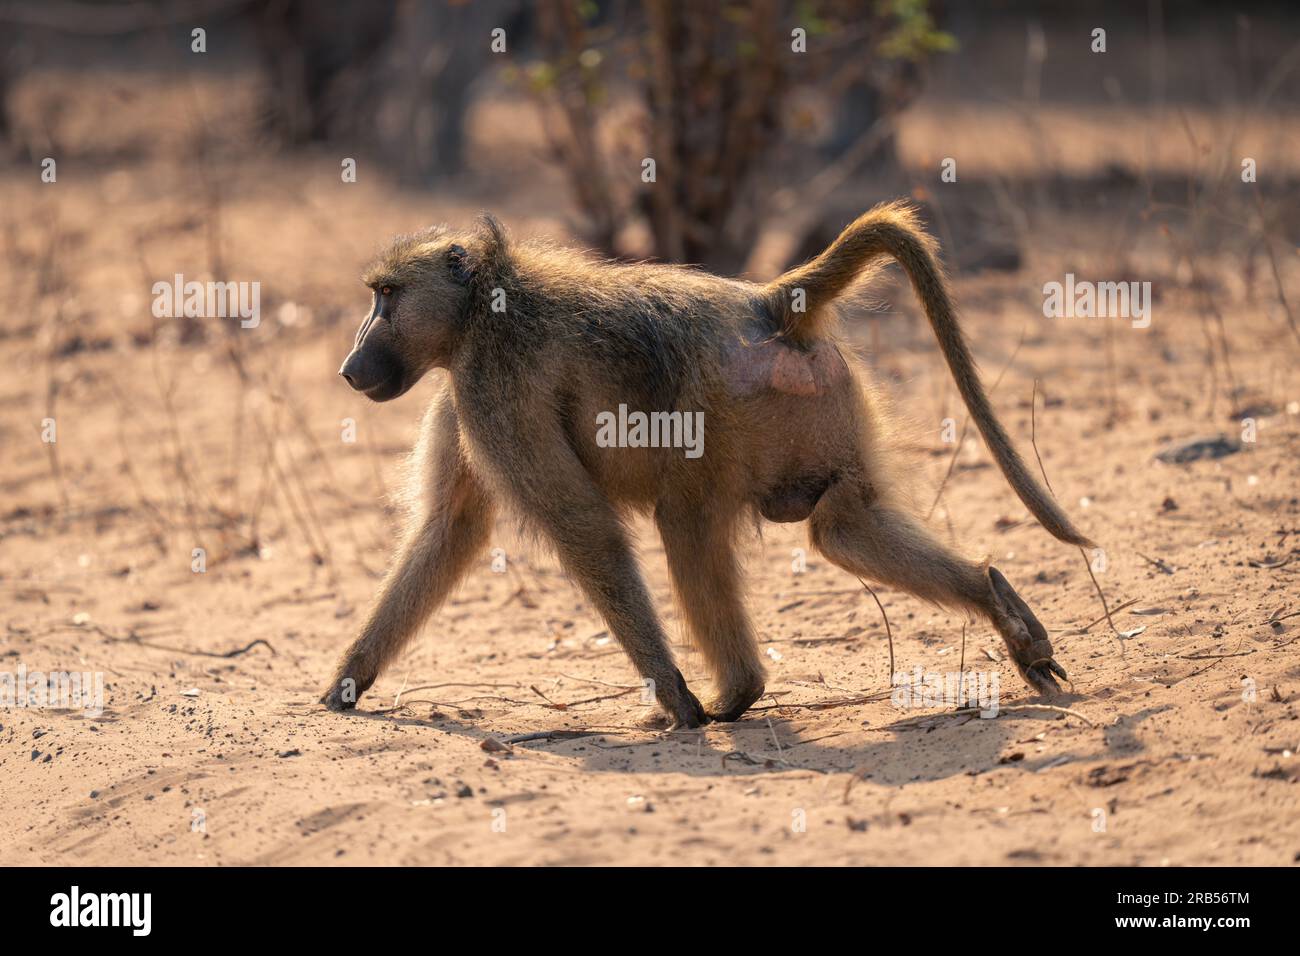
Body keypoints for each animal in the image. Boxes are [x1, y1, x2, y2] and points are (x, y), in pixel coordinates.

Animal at [321, 202, 1093, 729]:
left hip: (717, 414)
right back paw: (999, 604)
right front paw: (346, 684)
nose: (350, 366)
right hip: (820, 407)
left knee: (685, 523)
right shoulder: (464, 395)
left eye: (386, 296)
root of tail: (767, 303)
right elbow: (451, 529)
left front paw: (671, 693)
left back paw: (730, 695)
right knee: (844, 527)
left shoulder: (491, 387)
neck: (483, 308)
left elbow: (582, 527)